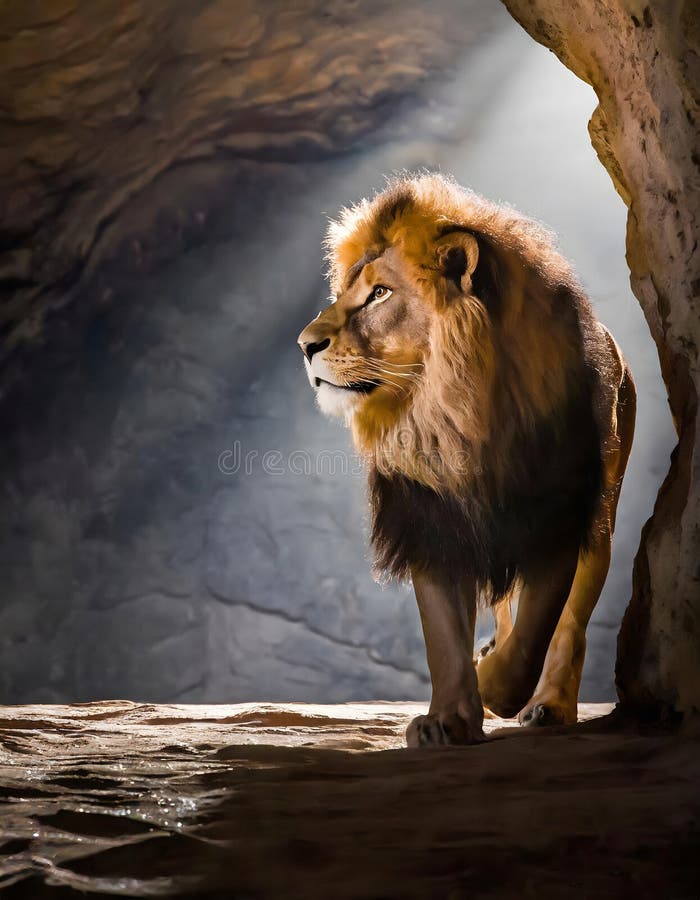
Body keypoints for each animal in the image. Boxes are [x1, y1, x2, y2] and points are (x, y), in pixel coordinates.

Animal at [297, 173, 635, 747]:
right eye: (344, 293)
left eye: (380, 293)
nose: (304, 345)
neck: (455, 414)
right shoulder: (429, 519)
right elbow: (443, 634)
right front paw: (448, 719)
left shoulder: (556, 514)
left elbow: (538, 629)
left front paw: (496, 686)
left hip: (603, 514)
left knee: (572, 621)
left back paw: (549, 704)